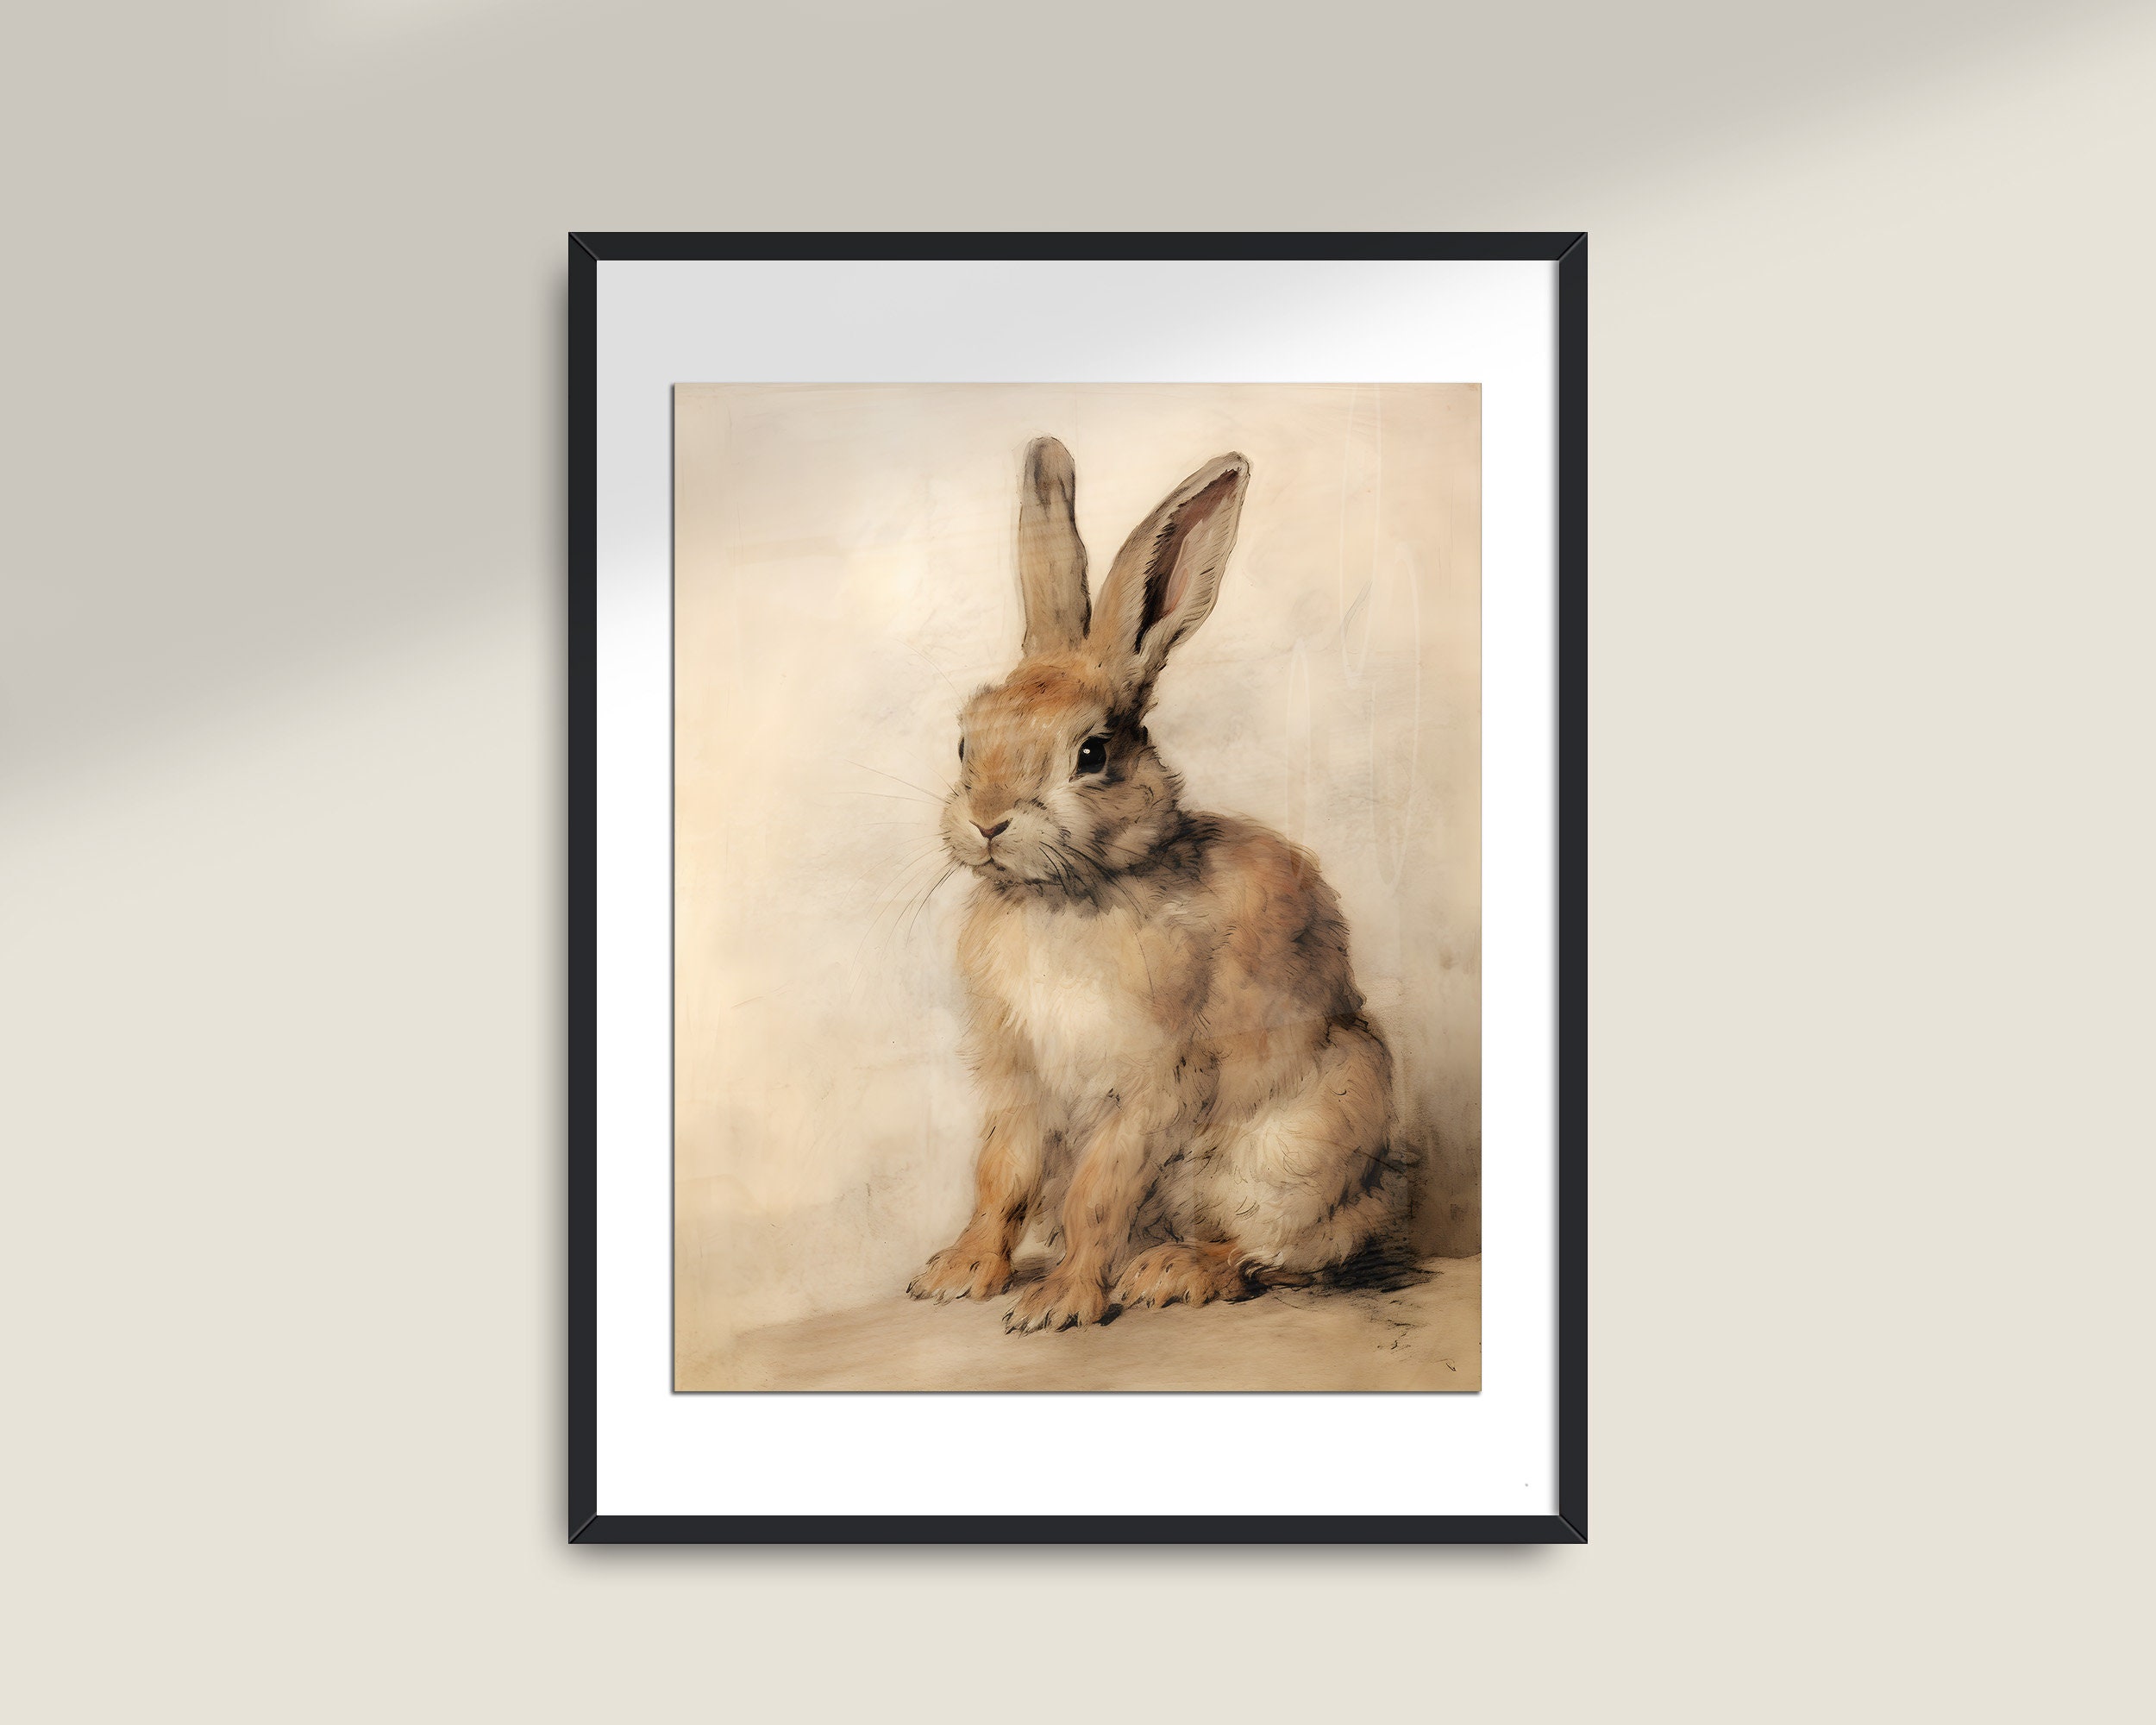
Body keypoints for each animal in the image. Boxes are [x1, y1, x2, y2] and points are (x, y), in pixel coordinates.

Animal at [906, 437, 1406, 1333]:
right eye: (965, 742)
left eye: (1092, 753)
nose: (988, 819)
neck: (1061, 895)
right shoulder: (1017, 1079)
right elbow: (1000, 1179)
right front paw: (960, 1275)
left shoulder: (1152, 1080)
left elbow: (1099, 1194)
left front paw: (1056, 1306)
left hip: (1300, 1151)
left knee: (1271, 1253)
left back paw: (1170, 1272)